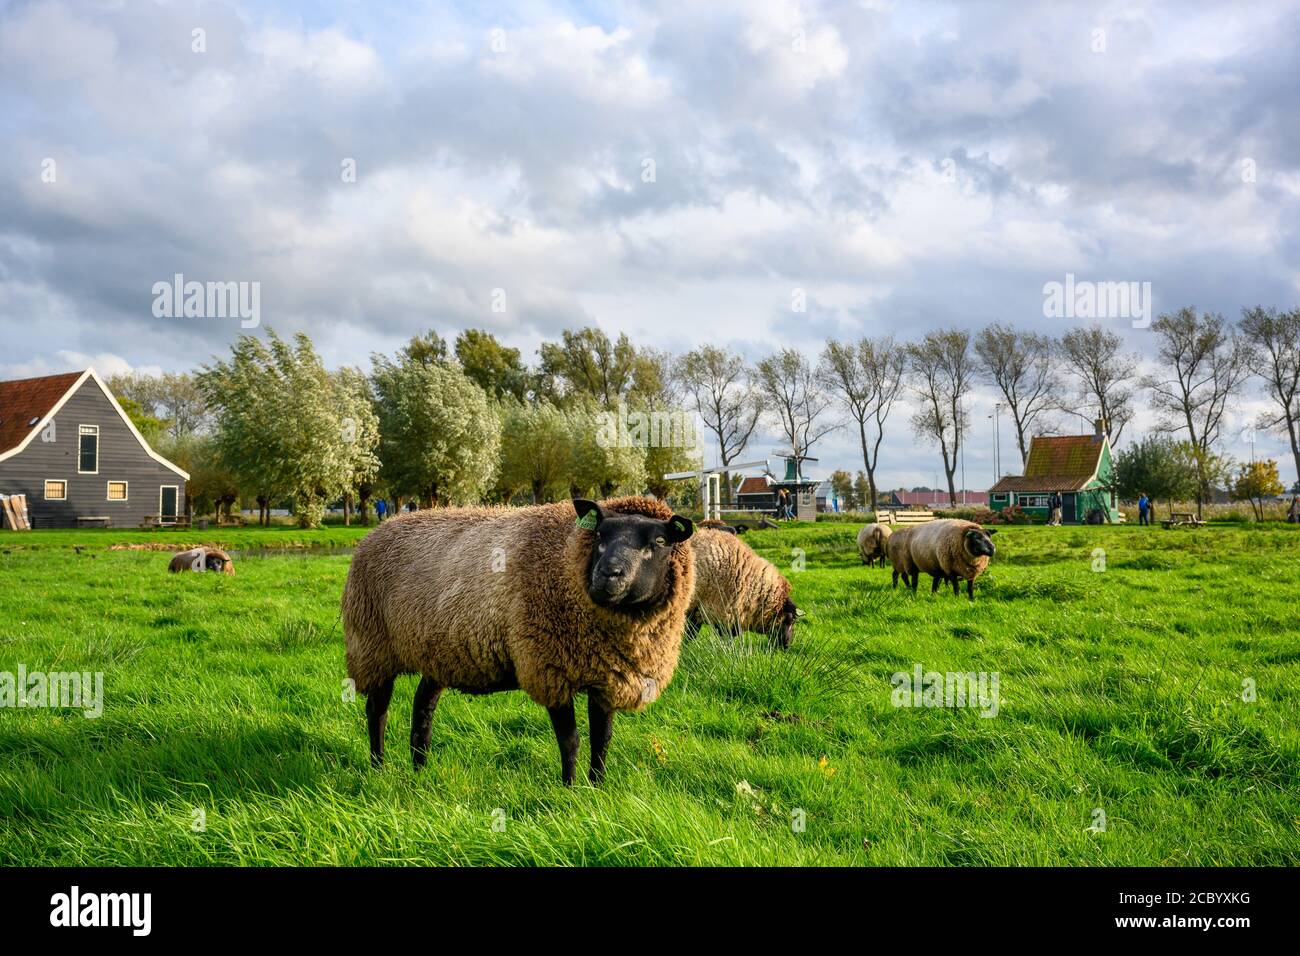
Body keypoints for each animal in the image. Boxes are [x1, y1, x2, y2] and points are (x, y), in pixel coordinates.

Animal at [342, 495, 695, 785]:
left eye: (659, 541)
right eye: (598, 536)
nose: (608, 574)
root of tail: (379, 529)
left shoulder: (607, 678)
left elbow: (602, 738)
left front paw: (597, 787)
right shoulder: (549, 669)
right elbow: (571, 740)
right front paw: (570, 790)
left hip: (438, 652)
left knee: (422, 705)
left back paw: (419, 767)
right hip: (372, 645)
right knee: (378, 710)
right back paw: (378, 766)